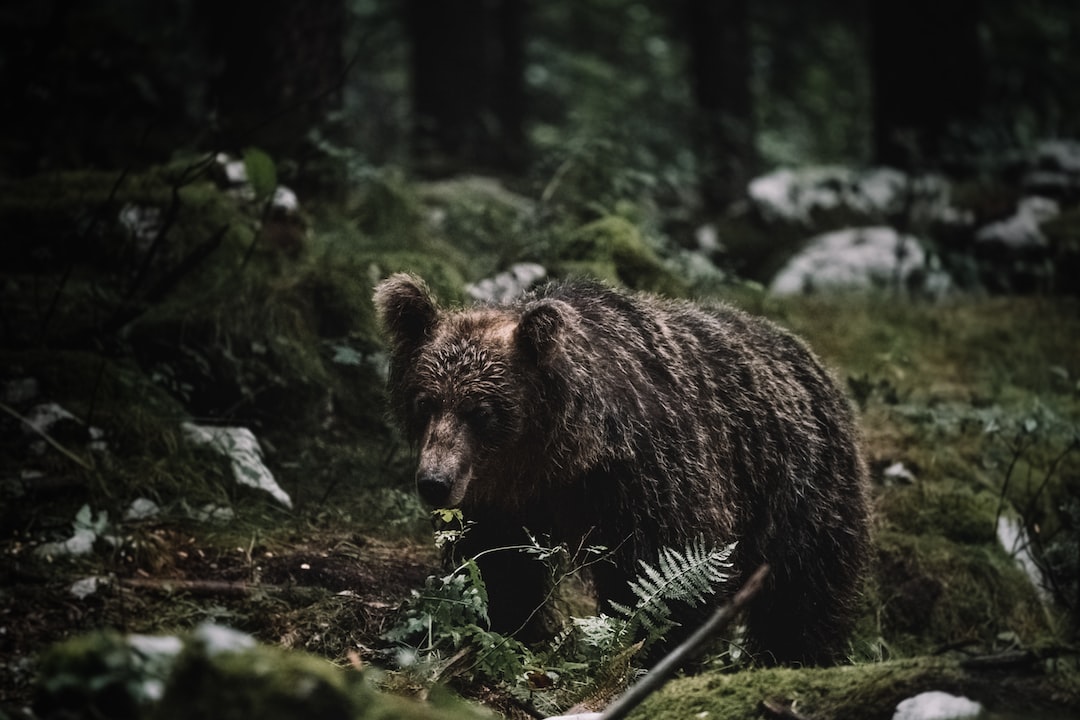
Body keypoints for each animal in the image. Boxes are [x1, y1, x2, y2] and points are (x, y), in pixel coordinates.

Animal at [373, 272, 871, 665]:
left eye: (482, 411)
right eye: (425, 402)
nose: (435, 483)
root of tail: (811, 359)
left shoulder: (650, 474)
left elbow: (669, 572)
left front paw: (650, 651)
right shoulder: (502, 499)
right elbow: (498, 566)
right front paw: (506, 628)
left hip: (801, 488)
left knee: (805, 590)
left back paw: (796, 656)